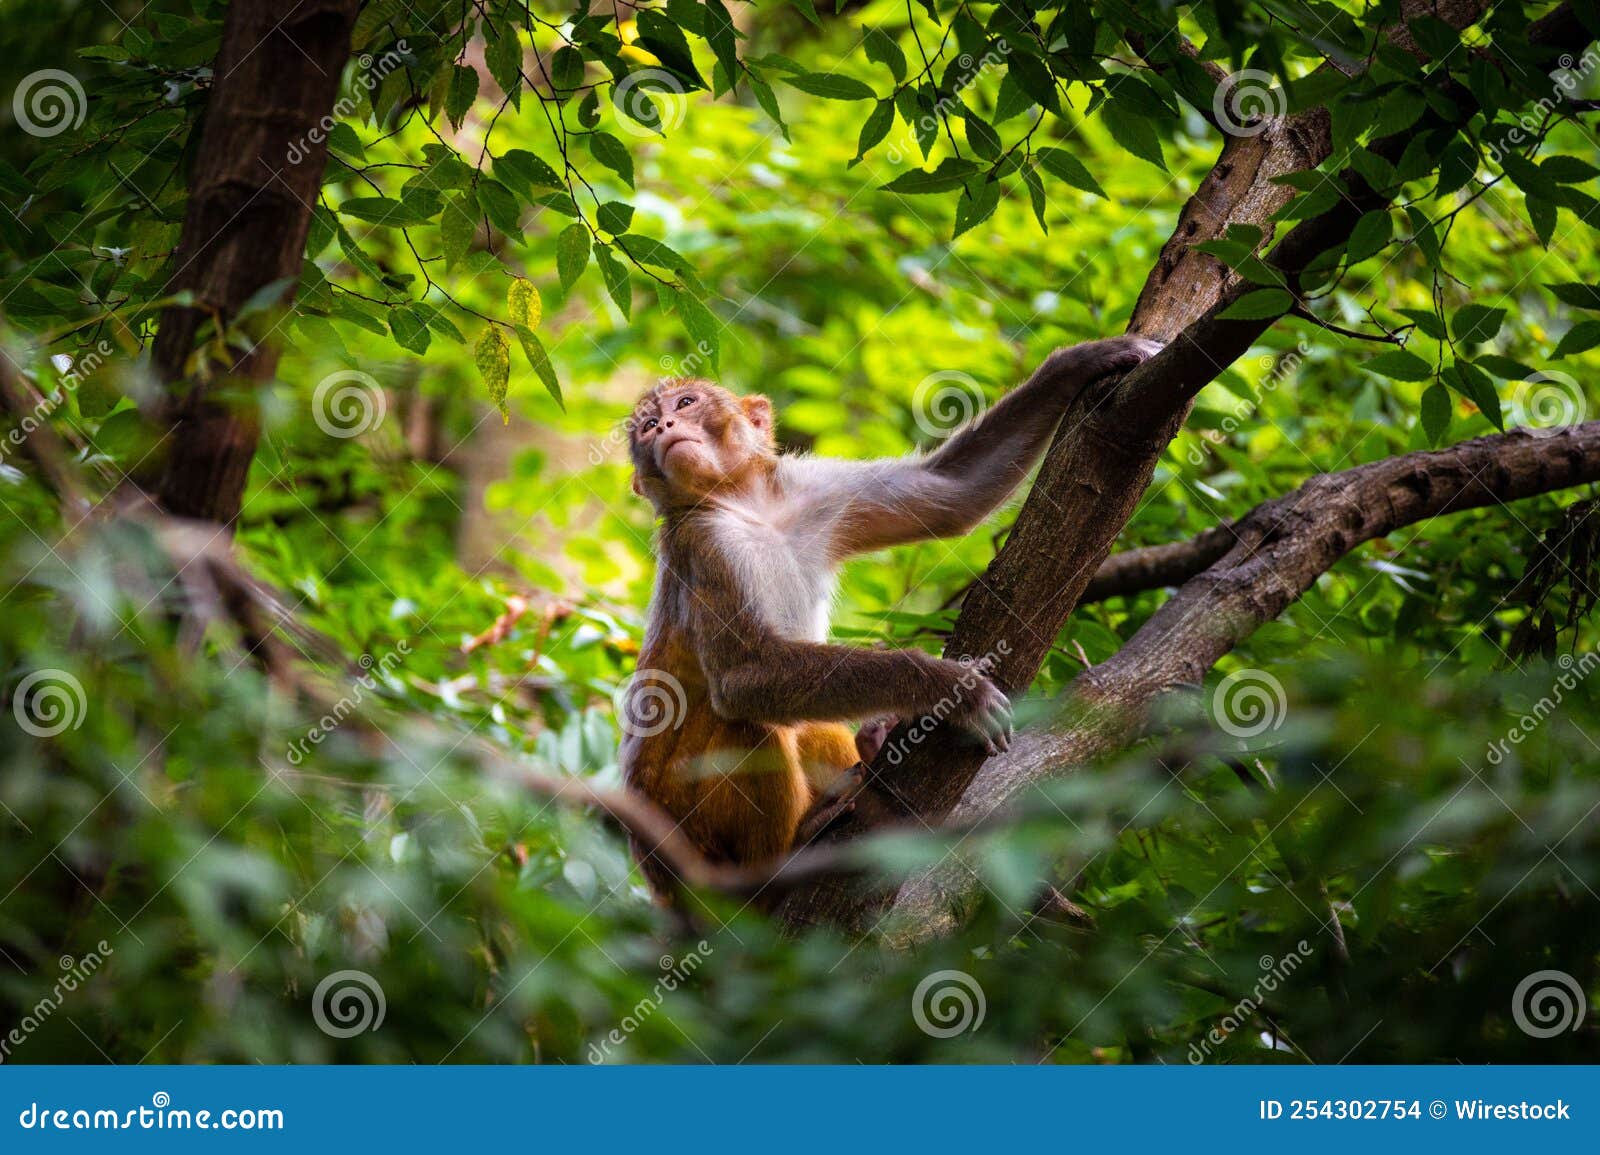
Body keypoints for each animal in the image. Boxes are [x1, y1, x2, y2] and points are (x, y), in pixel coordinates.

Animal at [620, 335, 1163, 899]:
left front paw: (1082, 362)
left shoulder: (811, 490)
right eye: (646, 425)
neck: (744, 504)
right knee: (751, 720)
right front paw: (946, 687)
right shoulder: (702, 545)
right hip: (691, 831)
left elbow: (952, 491)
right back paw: (778, 865)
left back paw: (867, 748)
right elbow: (738, 676)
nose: (661, 426)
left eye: (685, 404)